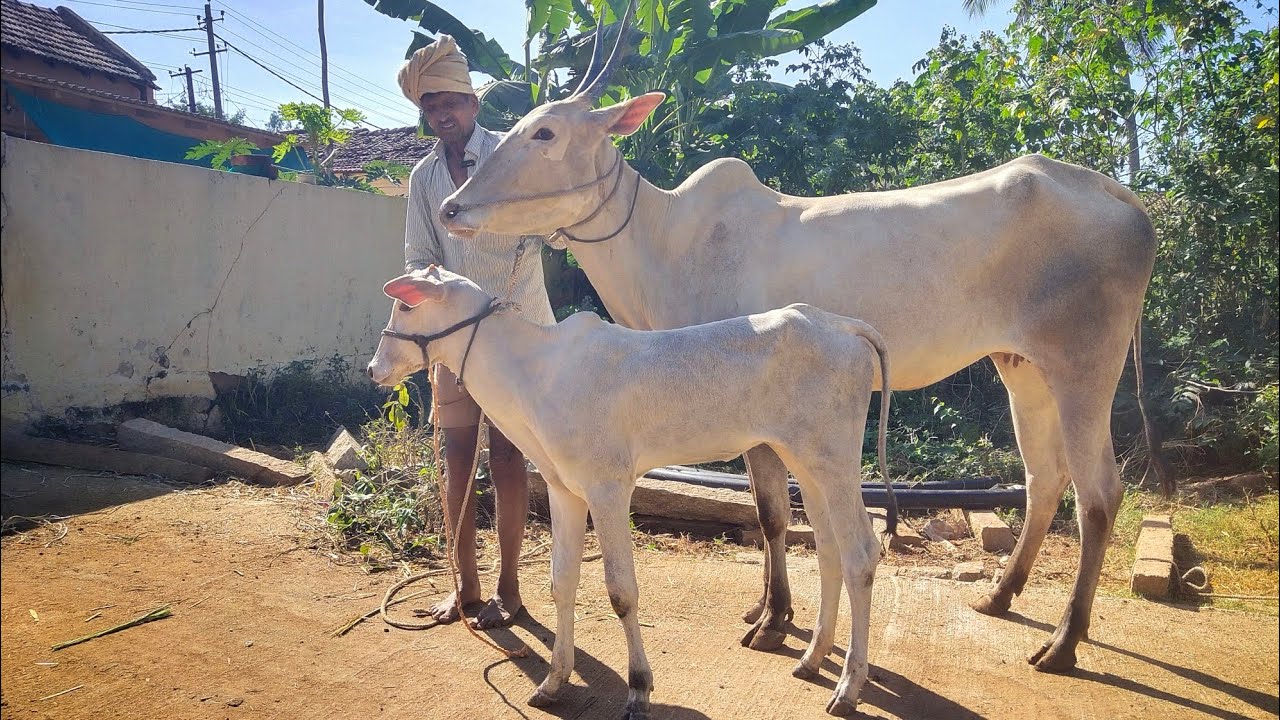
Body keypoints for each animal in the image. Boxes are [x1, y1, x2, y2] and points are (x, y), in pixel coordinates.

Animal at [368, 265, 895, 716]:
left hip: (836, 460)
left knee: (861, 555)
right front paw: (553, 683)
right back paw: (811, 659)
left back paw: (848, 687)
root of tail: (845, 326)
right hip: (804, 460)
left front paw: (639, 689)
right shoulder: (564, 490)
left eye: (407, 306)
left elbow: (621, 592)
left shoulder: (607, 488)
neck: (536, 370)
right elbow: (561, 583)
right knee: (829, 551)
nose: (375, 368)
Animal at [434, 5, 1167, 675]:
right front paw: (765, 609)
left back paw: (1064, 642)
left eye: (546, 132)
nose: (451, 207)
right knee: (1045, 479)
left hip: (1084, 364)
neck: (666, 240)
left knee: (1099, 493)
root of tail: (1125, 201)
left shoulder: (753, 414)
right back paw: (1000, 595)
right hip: (1022, 366)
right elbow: (772, 515)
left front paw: (775, 619)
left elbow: (770, 513)